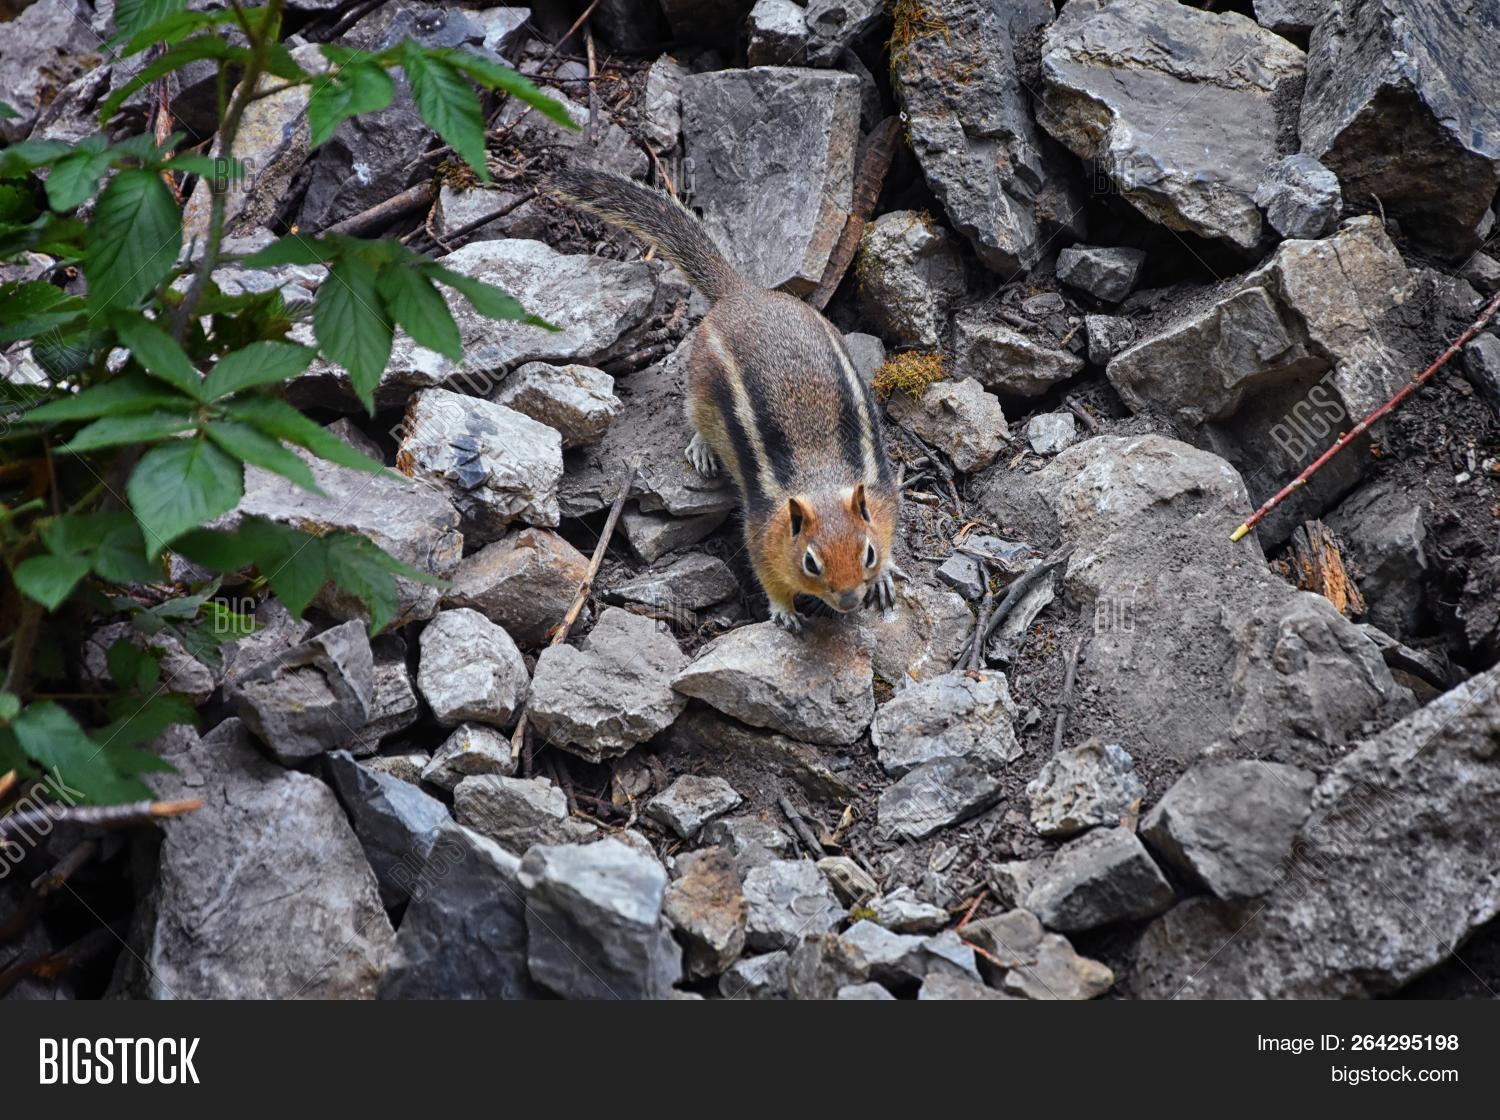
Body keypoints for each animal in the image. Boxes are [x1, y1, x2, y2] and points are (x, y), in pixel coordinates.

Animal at [546, 165, 900, 633]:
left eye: (868, 553)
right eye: (811, 562)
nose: (848, 601)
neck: (820, 478)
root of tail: (739, 294)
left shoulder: (883, 501)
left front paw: (887, 576)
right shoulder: (762, 533)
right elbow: (766, 573)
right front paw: (784, 612)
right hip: (700, 388)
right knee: (695, 418)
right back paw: (702, 449)